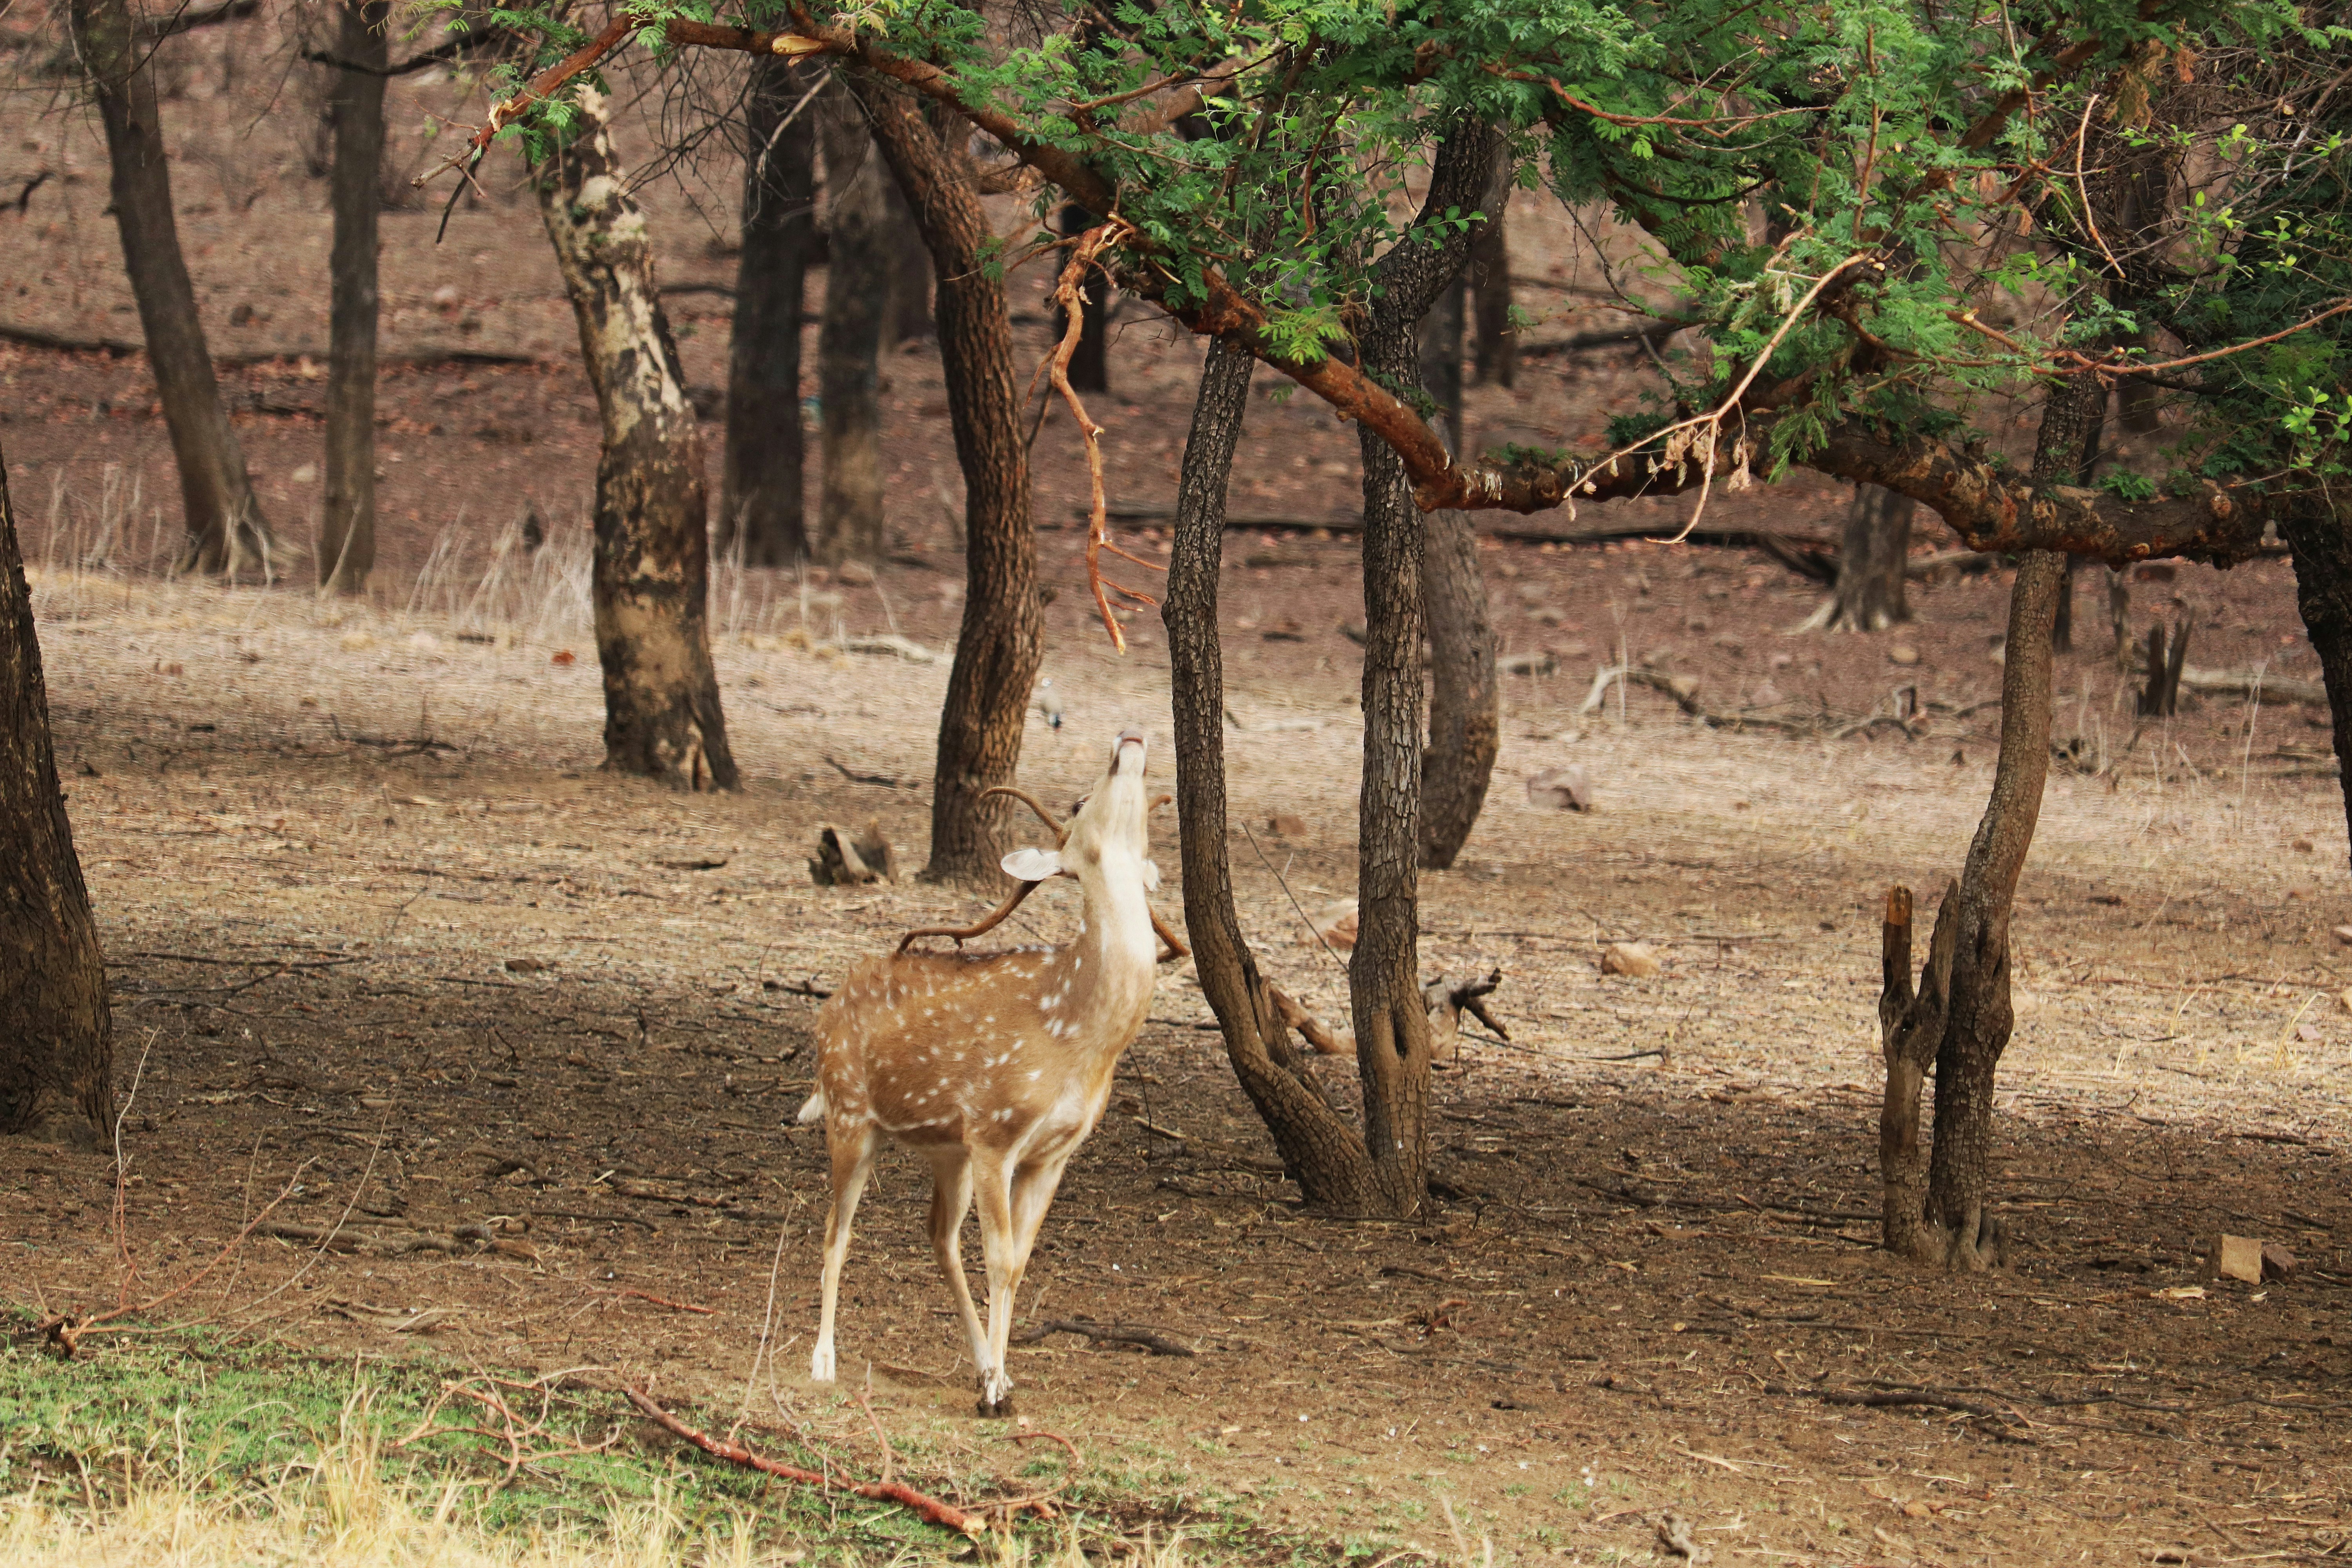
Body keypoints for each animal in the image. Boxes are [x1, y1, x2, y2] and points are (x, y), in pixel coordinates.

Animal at [796, 728, 1185, 1416]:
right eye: (1081, 800)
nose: (1130, 738)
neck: (1078, 1036)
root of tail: (829, 1004)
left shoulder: (1051, 1153)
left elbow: (1021, 1260)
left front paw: (1000, 1380)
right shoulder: (996, 1131)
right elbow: (1001, 1258)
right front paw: (995, 1395)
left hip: (943, 1149)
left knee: (938, 1235)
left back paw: (979, 1363)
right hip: (850, 1114)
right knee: (836, 1232)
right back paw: (823, 1361)